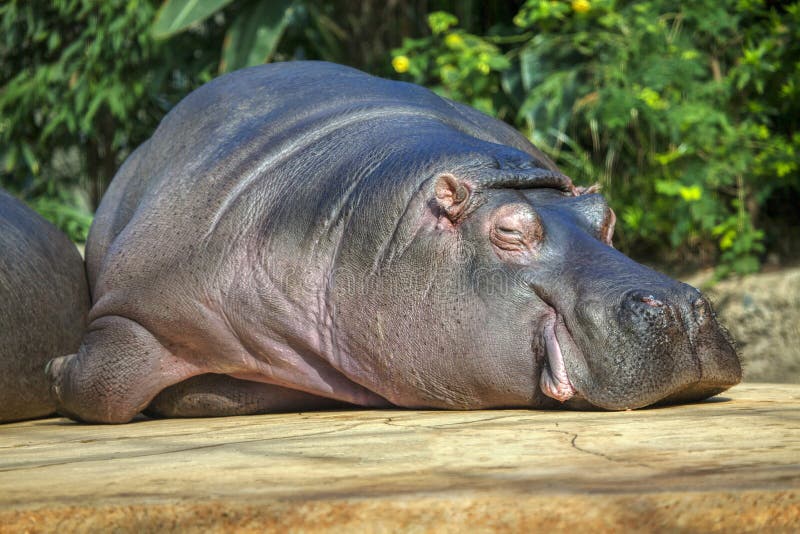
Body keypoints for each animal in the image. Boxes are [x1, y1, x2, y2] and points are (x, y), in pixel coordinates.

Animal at [47, 61, 741, 423]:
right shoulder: (135, 308)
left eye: (607, 215)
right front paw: (53, 371)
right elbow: (103, 386)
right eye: (508, 231)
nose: (680, 307)